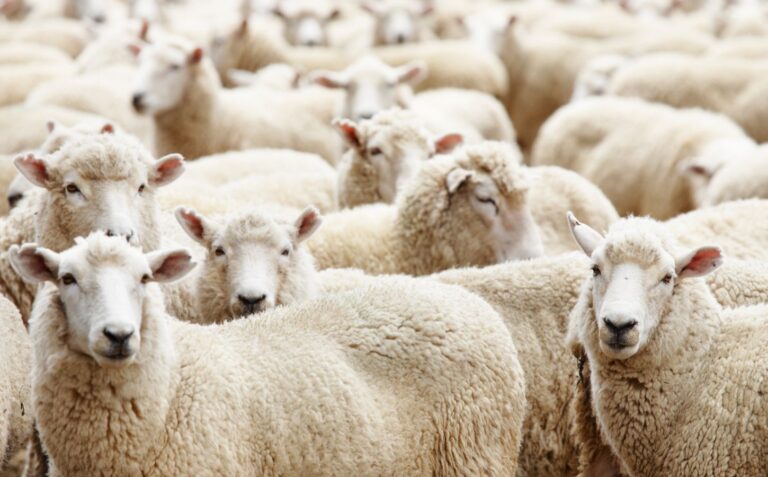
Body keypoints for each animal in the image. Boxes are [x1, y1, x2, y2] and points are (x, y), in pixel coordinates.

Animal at [14, 231, 527, 476]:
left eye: (144, 278)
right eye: (67, 279)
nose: (119, 335)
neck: (172, 388)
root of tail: (463, 300)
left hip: (476, 456)